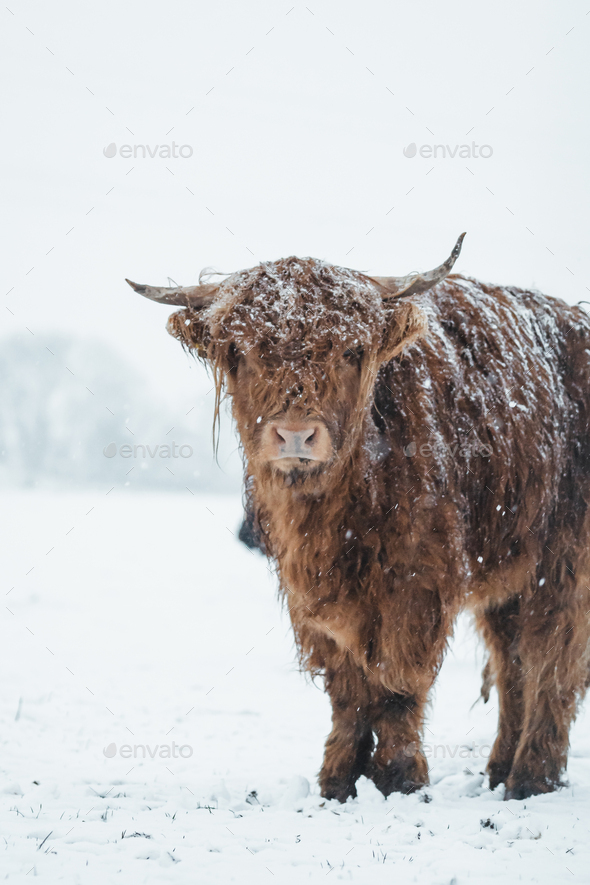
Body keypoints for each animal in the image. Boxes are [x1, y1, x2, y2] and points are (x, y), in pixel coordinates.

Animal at [127, 234, 590, 802]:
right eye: (243, 352)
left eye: (350, 352)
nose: (296, 435)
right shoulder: (314, 597)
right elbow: (346, 690)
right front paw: (339, 779)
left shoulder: (417, 581)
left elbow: (396, 682)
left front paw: (398, 776)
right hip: (512, 572)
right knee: (513, 662)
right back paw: (500, 771)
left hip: (563, 561)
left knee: (553, 658)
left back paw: (531, 779)